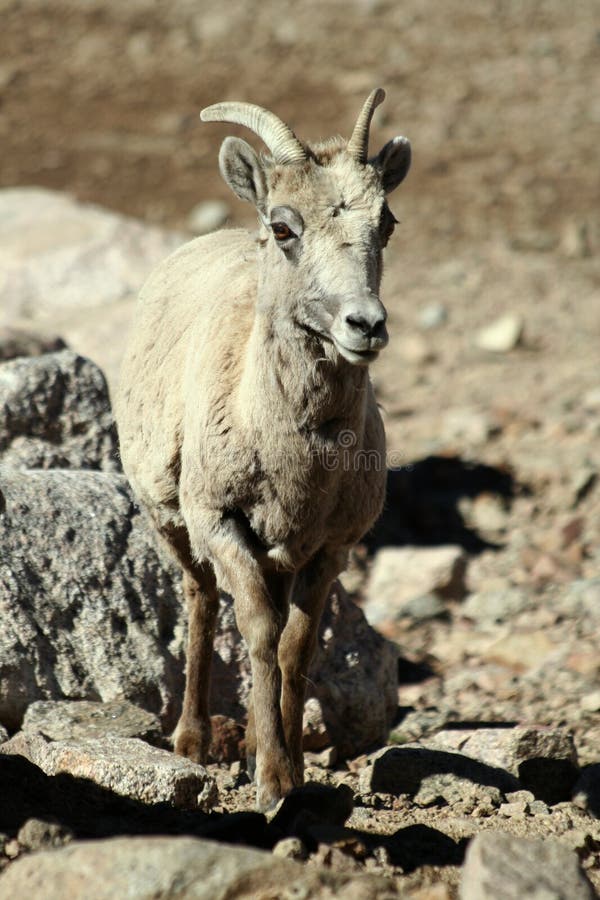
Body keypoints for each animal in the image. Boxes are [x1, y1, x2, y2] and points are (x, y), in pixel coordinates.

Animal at [115, 88, 411, 811]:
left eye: (387, 222)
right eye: (283, 228)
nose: (365, 325)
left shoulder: (330, 548)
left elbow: (294, 648)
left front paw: (291, 768)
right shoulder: (223, 524)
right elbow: (255, 630)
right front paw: (272, 782)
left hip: (280, 555)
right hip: (173, 524)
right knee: (200, 602)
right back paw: (192, 740)